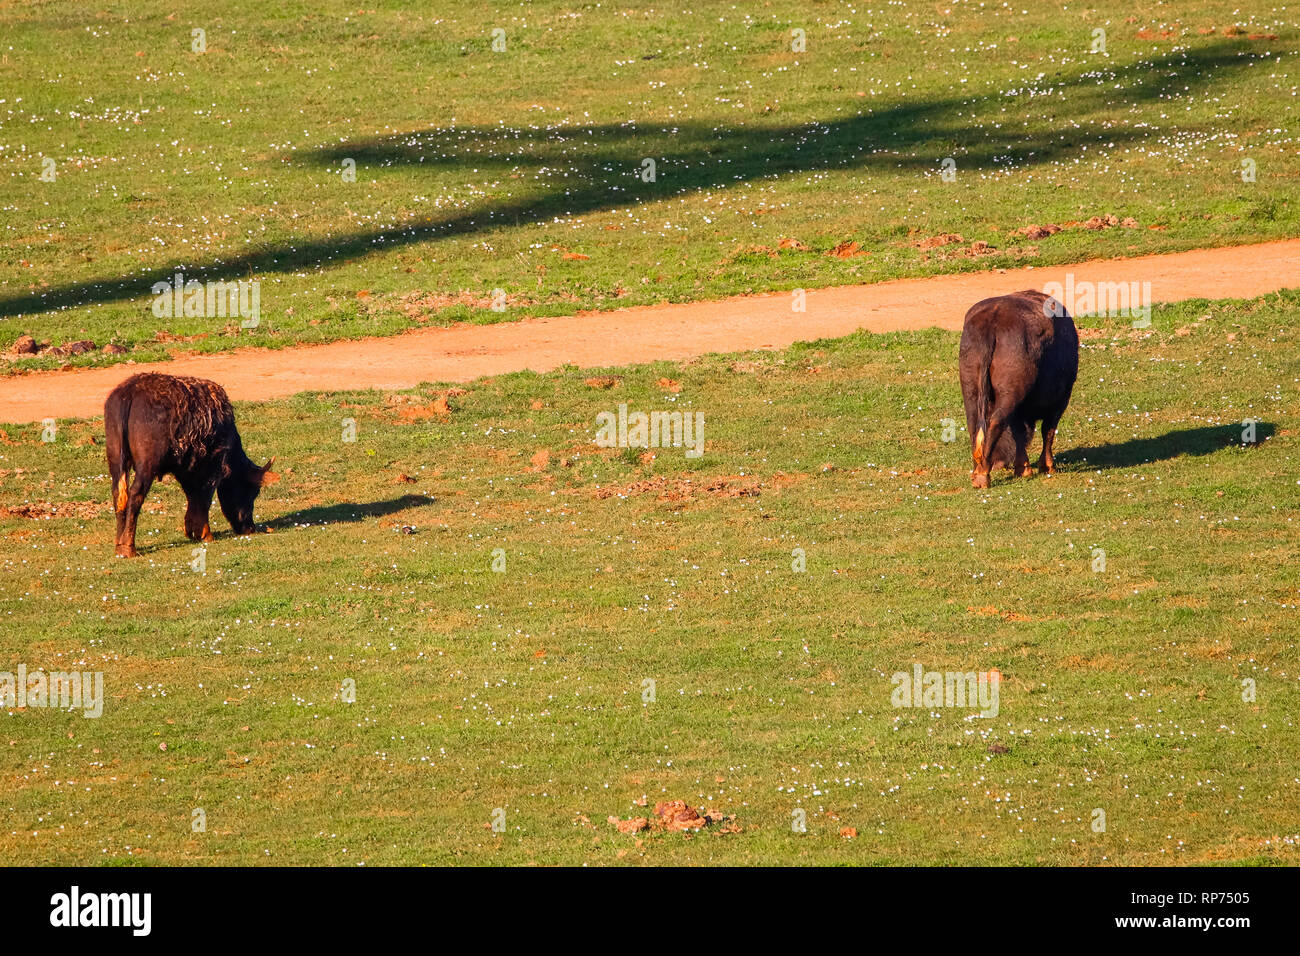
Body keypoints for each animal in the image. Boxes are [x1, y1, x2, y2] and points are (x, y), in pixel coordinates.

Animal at [104, 373, 277, 557]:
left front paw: (192, 531)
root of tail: (130, 391)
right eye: (252, 492)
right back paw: (128, 546)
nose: (250, 527)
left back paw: (119, 543)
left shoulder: (186, 470)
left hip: (117, 461)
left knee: (119, 494)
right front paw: (205, 533)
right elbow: (203, 499)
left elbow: (192, 496)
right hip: (146, 466)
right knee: (135, 494)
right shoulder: (212, 469)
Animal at [958, 290, 1079, 489]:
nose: (998, 464)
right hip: (1011, 393)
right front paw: (1046, 466)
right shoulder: (1060, 401)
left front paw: (1023, 468)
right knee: (995, 422)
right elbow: (1047, 431)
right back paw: (983, 474)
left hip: (971, 389)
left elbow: (1018, 433)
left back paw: (978, 469)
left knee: (974, 424)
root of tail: (992, 317)